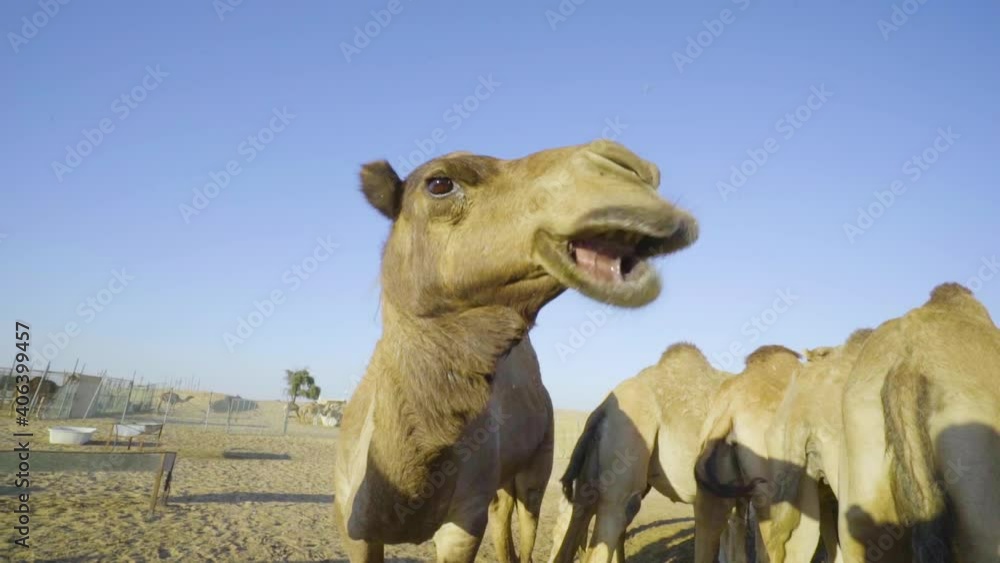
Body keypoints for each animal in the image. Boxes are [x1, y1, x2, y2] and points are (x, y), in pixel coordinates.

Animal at [333, 140, 699, 562]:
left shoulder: (464, 522)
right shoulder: (352, 525)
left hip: (537, 468)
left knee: (526, 518)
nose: (633, 170)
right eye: (439, 183)